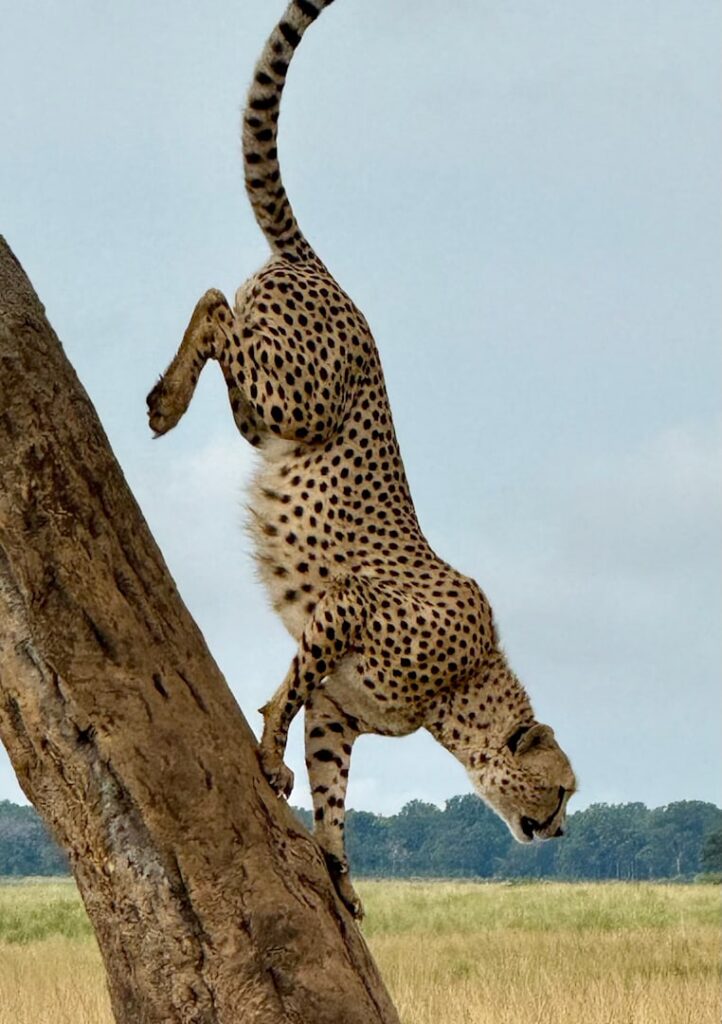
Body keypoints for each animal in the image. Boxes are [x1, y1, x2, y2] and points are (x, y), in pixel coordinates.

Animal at [147, 0, 576, 918]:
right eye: (558, 790)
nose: (557, 833)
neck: (460, 691)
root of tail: (322, 266)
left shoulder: (343, 712)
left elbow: (332, 782)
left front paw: (340, 870)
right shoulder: (346, 608)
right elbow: (287, 691)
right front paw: (265, 759)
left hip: (268, 416)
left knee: (219, 308)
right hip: (293, 397)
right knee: (214, 303)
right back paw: (163, 401)